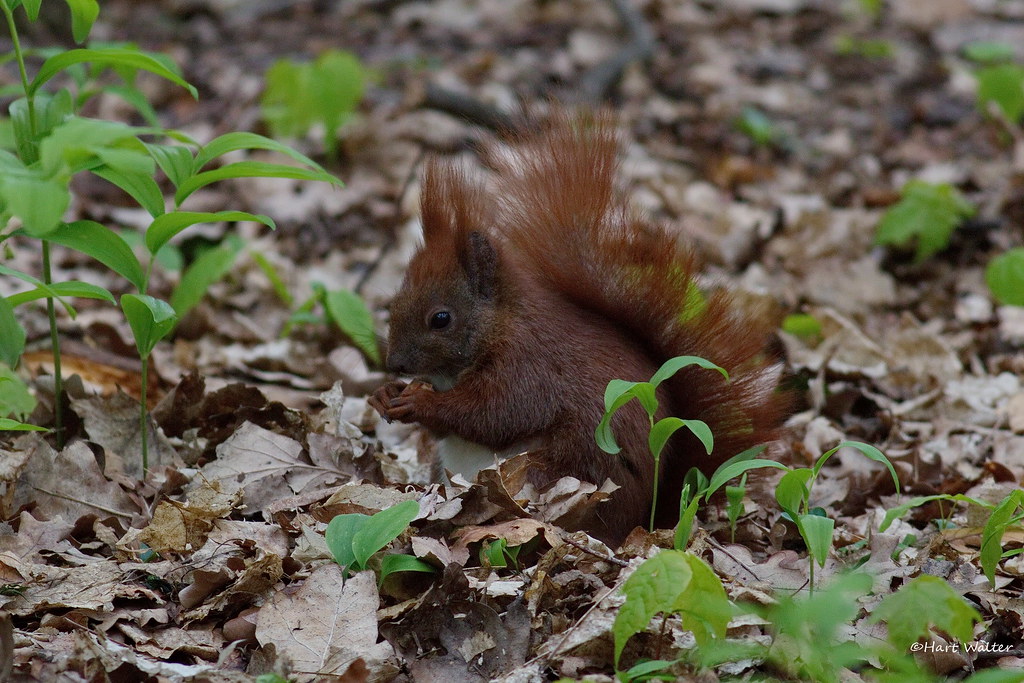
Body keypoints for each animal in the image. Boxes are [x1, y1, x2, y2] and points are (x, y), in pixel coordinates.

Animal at [368, 112, 789, 544]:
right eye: (393, 303)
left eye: (441, 319)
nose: (394, 363)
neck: (498, 326)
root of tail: (643, 518)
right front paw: (386, 395)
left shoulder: (529, 365)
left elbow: (494, 413)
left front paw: (421, 403)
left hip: (562, 466)